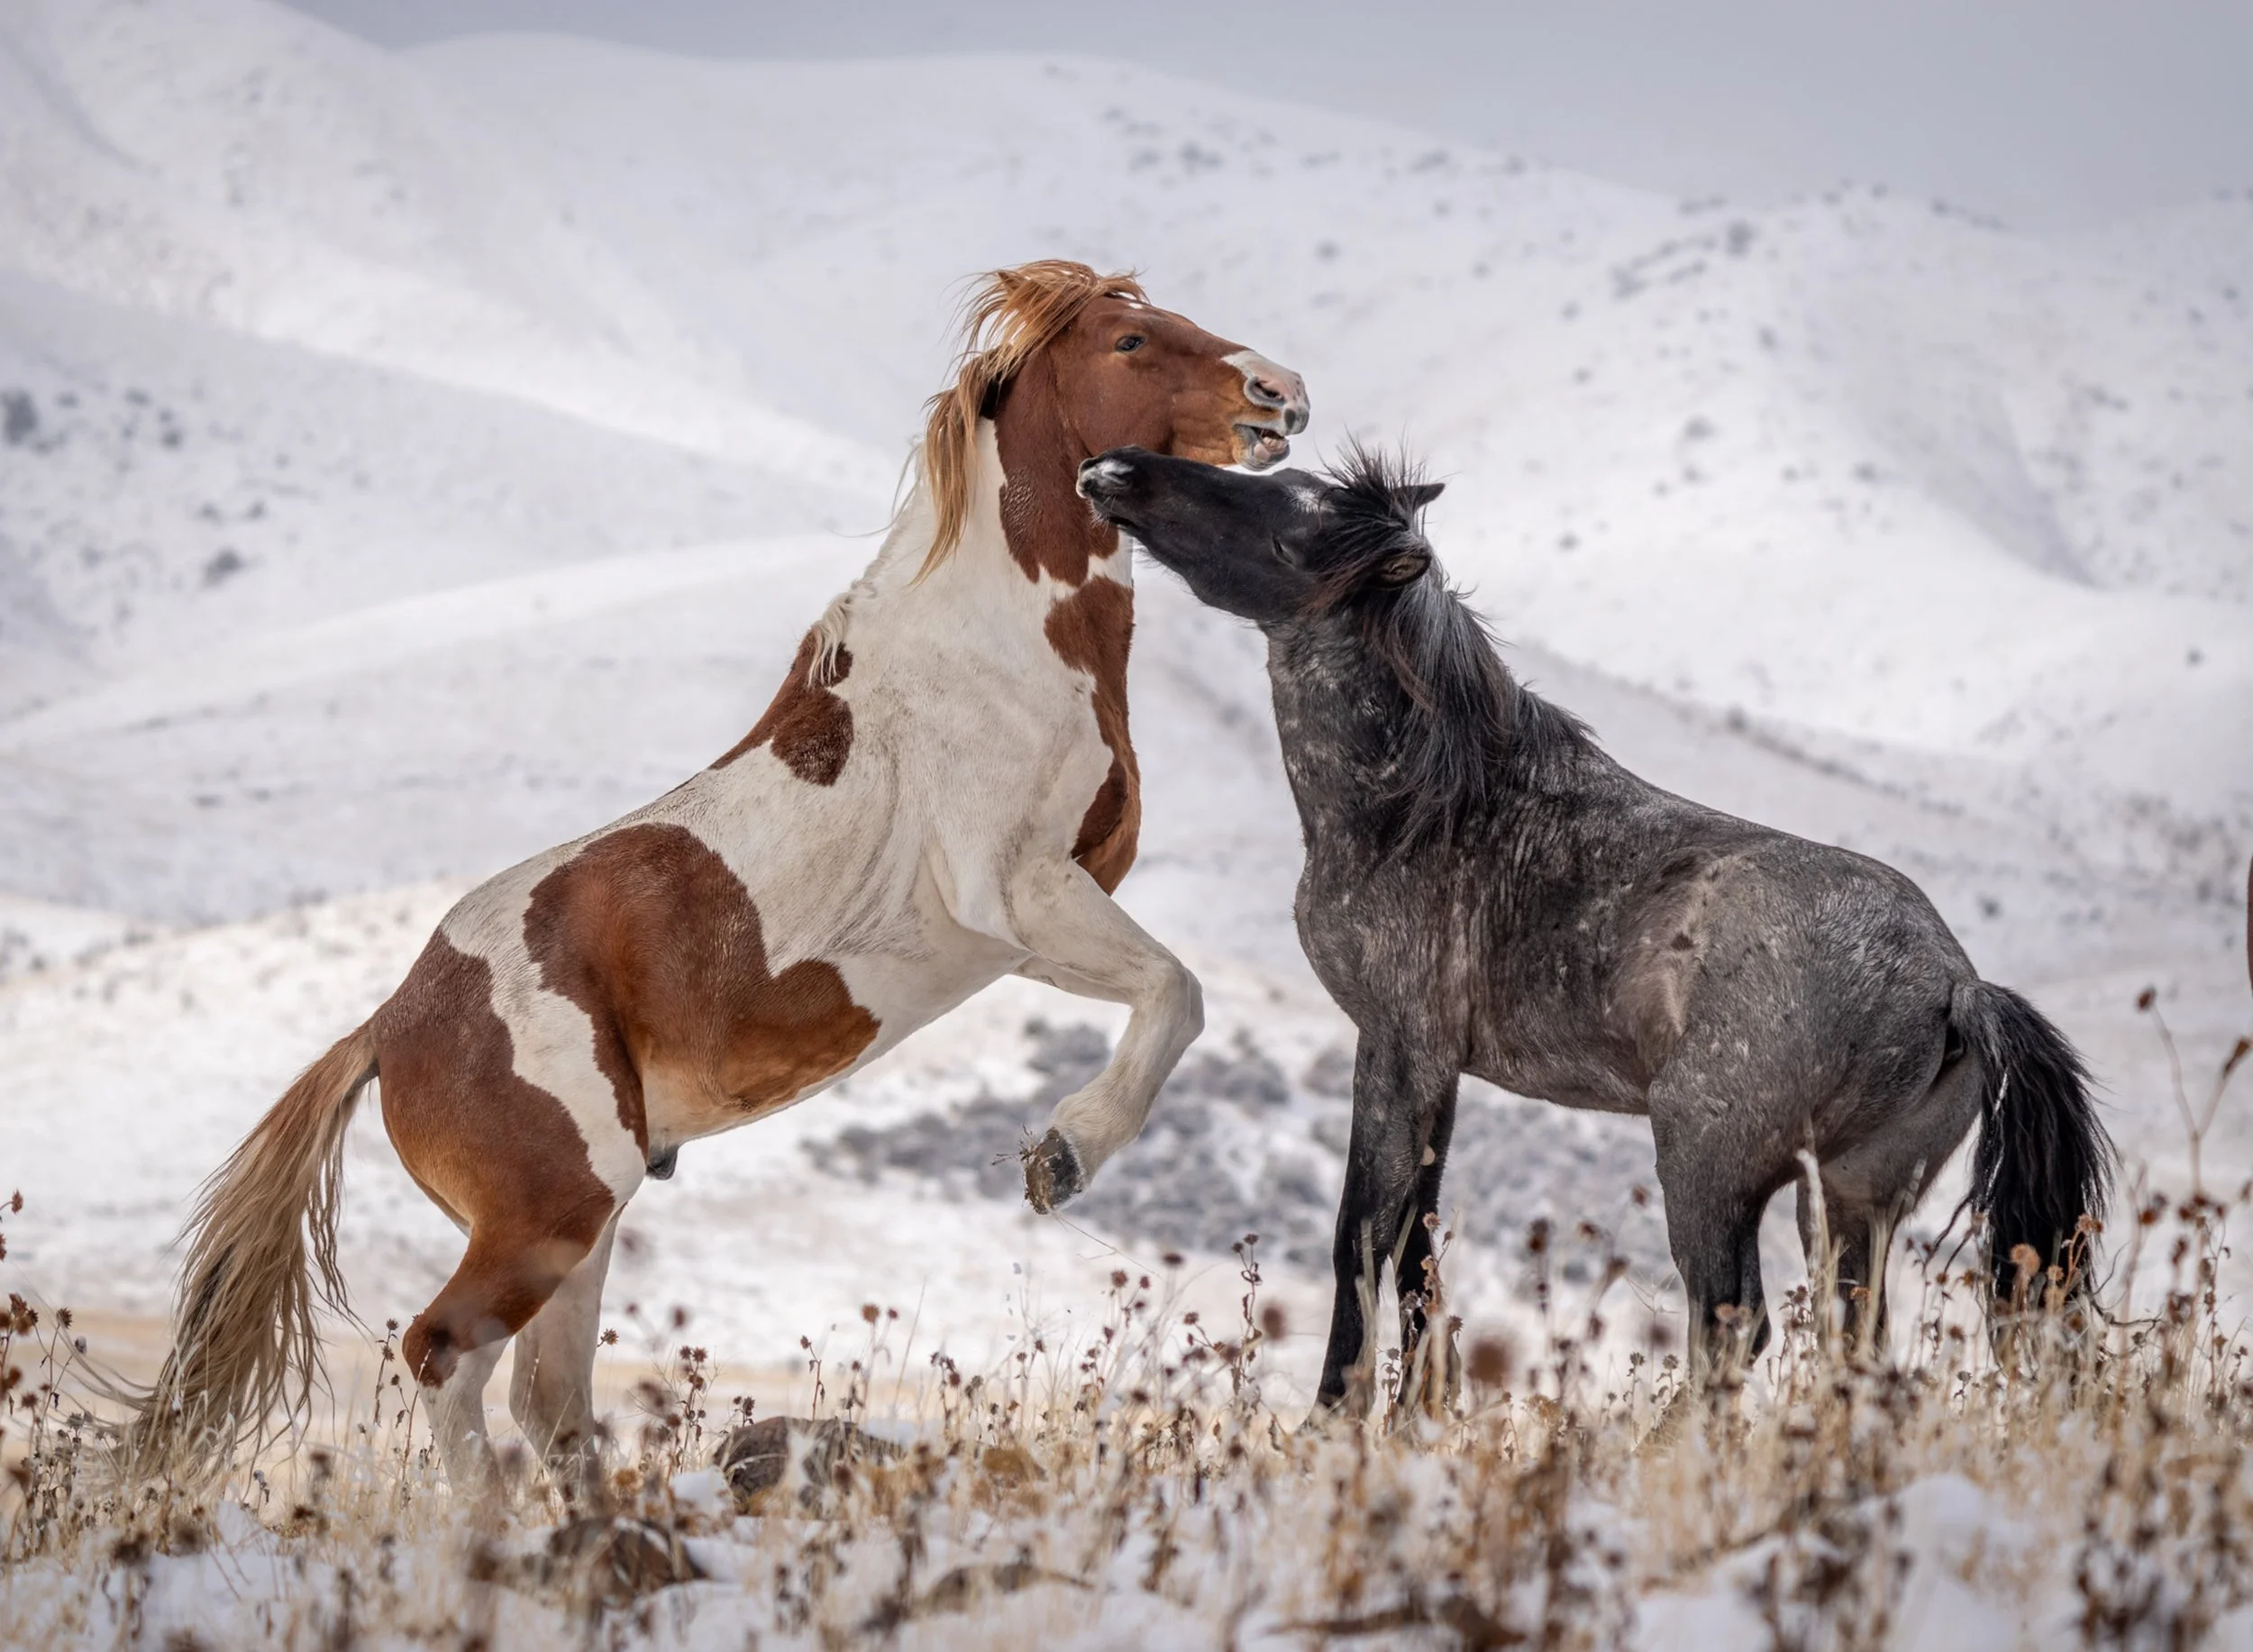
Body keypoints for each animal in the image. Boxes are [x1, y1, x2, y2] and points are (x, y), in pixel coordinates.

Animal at [125, 261, 1310, 1490]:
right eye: (1130, 340)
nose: (1282, 395)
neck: (993, 656)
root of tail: (389, 1027)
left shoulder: (1032, 933)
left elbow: (1164, 988)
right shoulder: (1022, 893)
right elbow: (1178, 991)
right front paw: (1062, 1158)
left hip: (587, 1221)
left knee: (550, 1401)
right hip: (552, 1210)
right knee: (444, 1356)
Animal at [1075, 442, 2114, 1410]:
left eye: (1294, 528)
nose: (1111, 469)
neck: (1429, 809)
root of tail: (1955, 985)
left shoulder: (1397, 1047)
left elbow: (1361, 1239)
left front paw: (1340, 1421)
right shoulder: (1437, 1071)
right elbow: (1416, 1244)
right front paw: (1418, 1413)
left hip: (1709, 1167)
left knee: (1733, 1322)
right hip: (1853, 1197)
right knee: (1851, 1336)